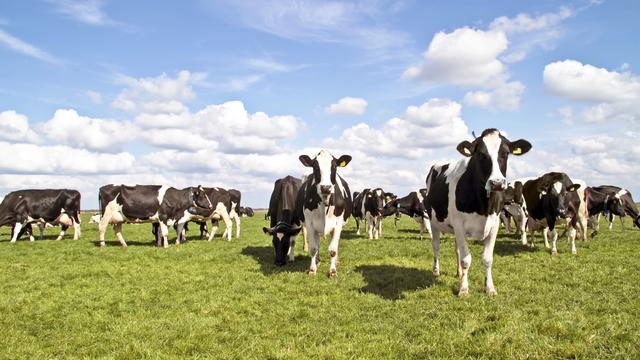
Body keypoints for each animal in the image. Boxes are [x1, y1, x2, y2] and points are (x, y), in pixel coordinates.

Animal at [294, 150, 352, 278]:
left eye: (334, 166)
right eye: (315, 166)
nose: (325, 187)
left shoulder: (338, 223)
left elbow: (333, 249)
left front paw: (333, 271)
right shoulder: (310, 223)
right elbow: (313, 248)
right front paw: (312, 269)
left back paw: (336, 261)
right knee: (318, 243)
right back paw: (318, 261)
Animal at [424, 129, 528, 296]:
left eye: (506, 153)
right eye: (480, 154)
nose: (497, 183)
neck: (483, 206)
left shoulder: (494, 225)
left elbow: (487, 258)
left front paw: (490, 288)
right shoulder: (459, 225)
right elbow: (466, 259)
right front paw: (463, 289)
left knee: (457, 249)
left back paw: (459, 273)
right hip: (434, 223)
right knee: (436, 246)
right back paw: (436, 270)